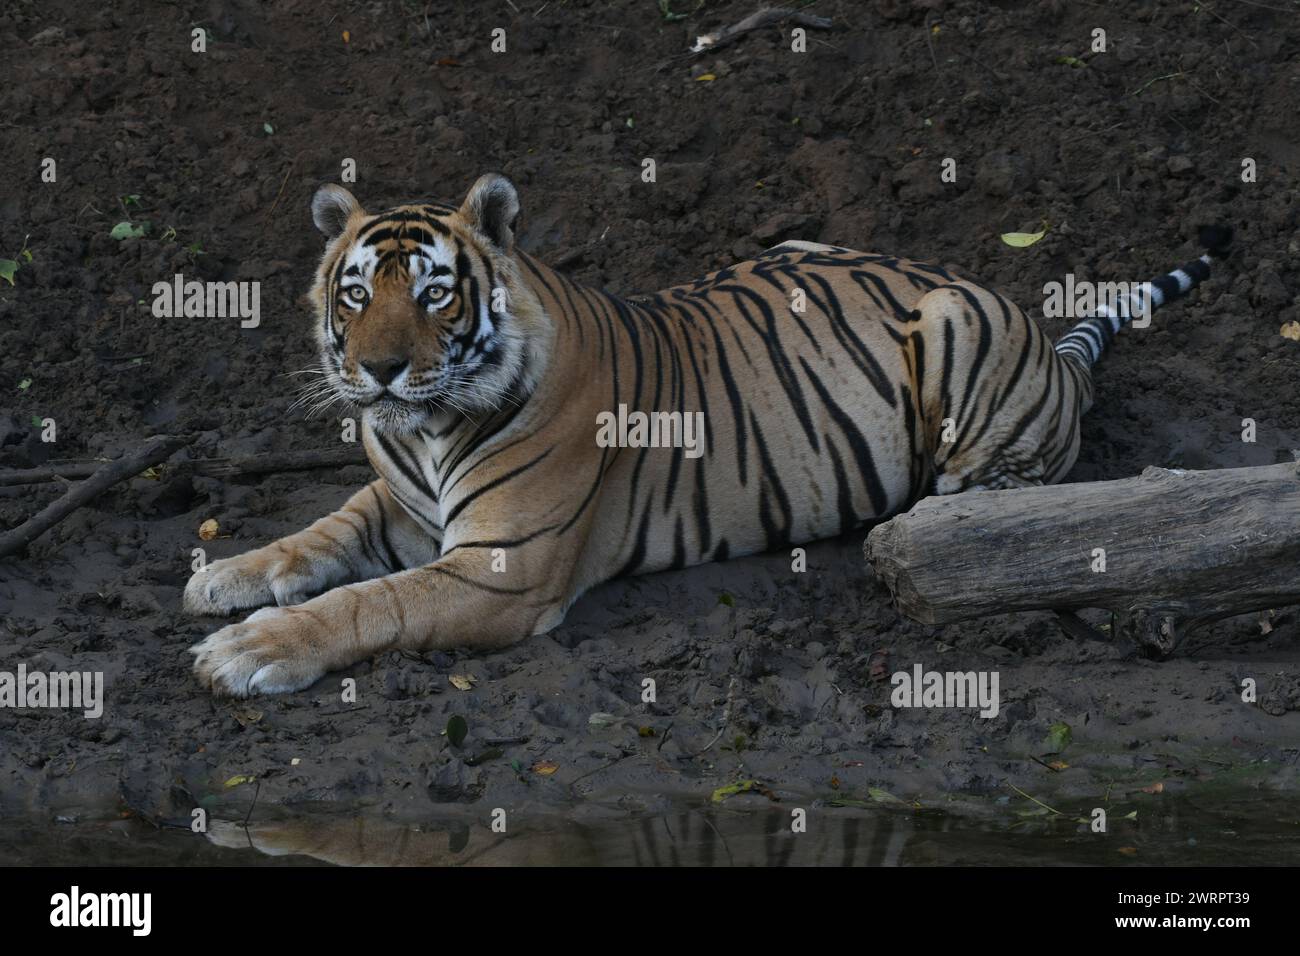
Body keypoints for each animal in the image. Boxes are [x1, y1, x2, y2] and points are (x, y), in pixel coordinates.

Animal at [184, 173, 1231, 697]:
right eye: (357, 293)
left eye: (435, 293)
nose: (379, 371)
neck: (428, 428)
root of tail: (1050, 342)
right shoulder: (398, 500)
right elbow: (322, 534)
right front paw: (223, 576)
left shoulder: (500, 567)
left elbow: (374, 604)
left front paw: (249, 649)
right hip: (797, 246)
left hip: (955, 328)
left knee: (1008, 496)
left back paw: (943, 522)